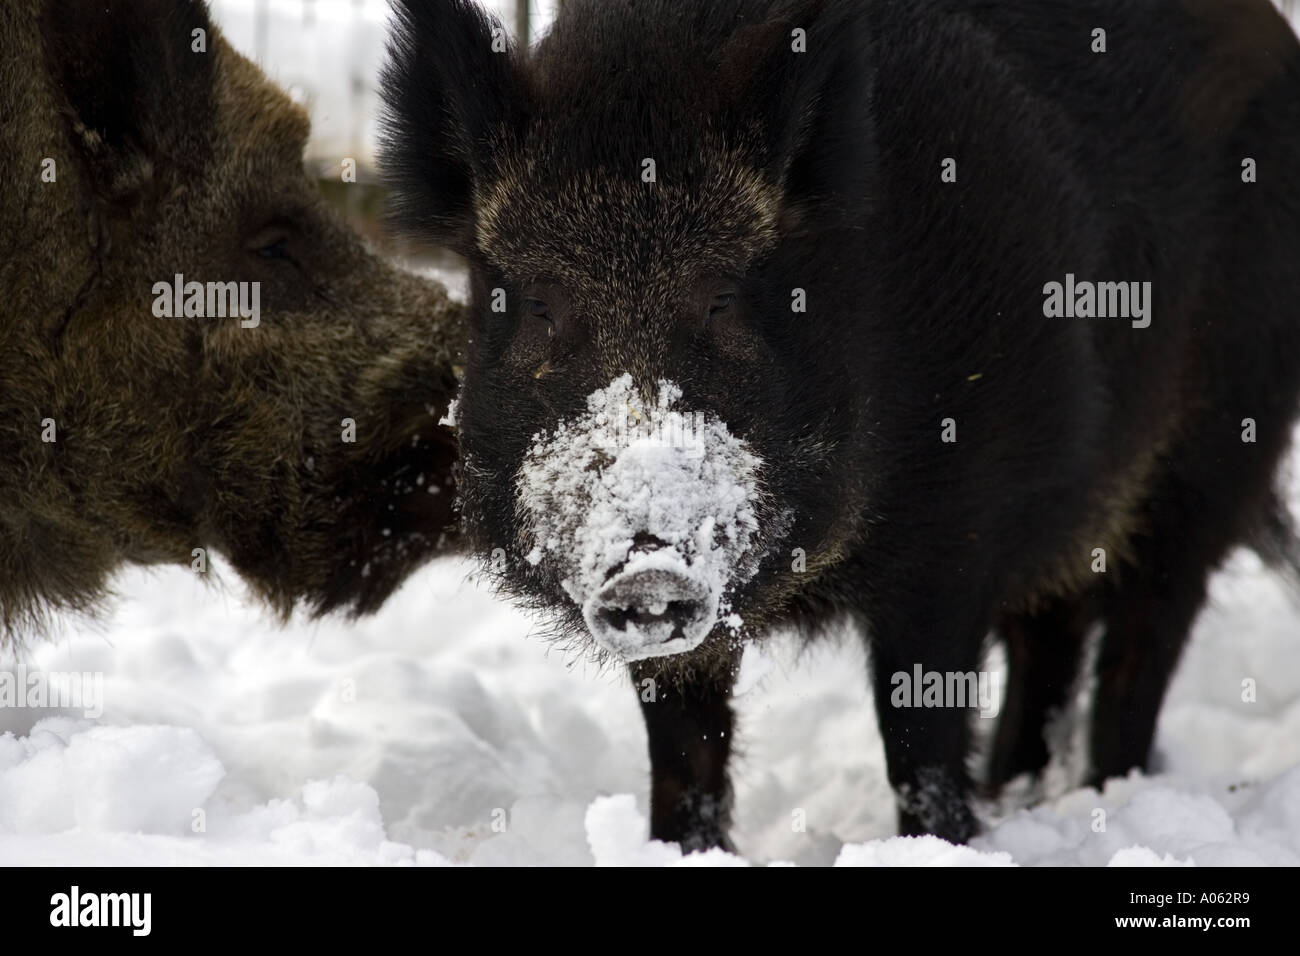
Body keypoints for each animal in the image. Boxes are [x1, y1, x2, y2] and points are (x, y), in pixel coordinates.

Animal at [381, 0, 1300, 850]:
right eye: (540, 305)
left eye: (721, 298)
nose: (647, 567)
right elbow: (683, 750)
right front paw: (682, 850)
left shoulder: (957, 533)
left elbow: (918, 737)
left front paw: (943, 844)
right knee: (1053, 633)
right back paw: (1022, 796)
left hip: (1217, 447)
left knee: (1144, 635)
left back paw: (1107, 793)